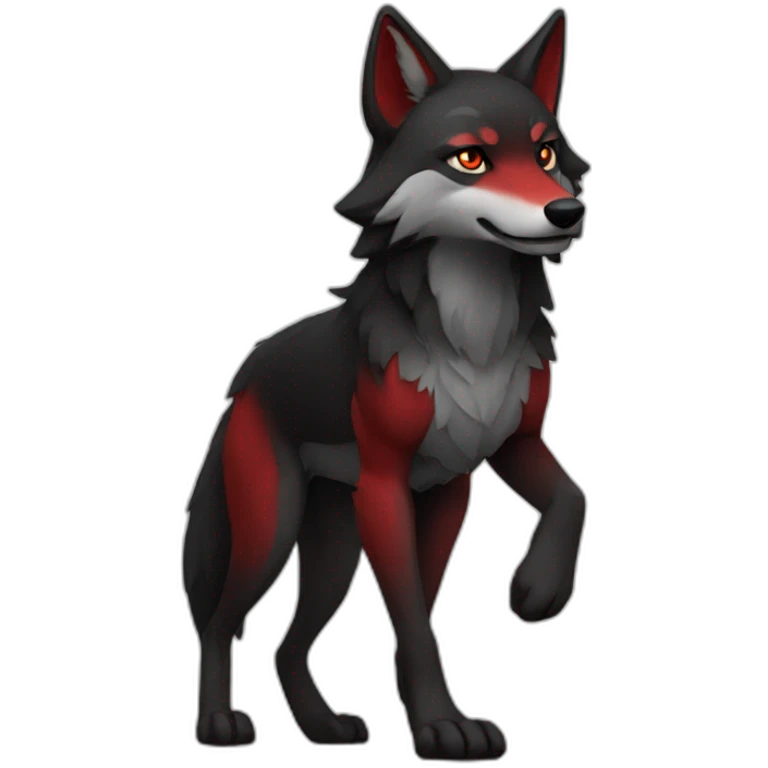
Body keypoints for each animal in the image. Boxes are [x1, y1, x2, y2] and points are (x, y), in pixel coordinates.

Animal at [182, 4, 590, 761]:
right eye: (471, 158)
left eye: (547, 154)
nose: (567, 214)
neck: (472, 334)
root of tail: (247, 375)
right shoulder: (385, 486)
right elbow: (415, 623)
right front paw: (442, 728)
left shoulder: (480, 465)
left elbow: (570, 500)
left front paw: (536, 591)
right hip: (269, 530)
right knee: (221, 622)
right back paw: (218, 724)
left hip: (335, 551)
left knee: (288, 647)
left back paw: (323, 729)